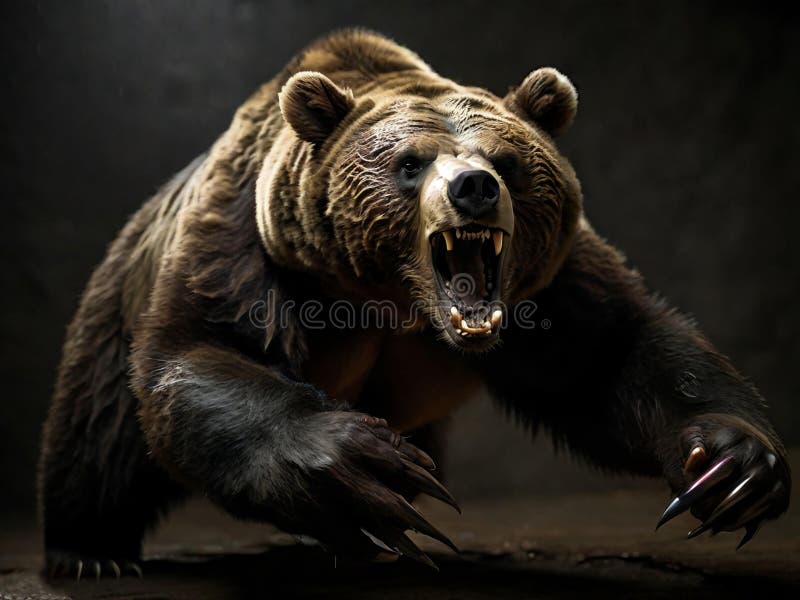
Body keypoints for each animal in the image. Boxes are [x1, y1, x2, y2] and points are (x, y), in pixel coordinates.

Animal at [38, 29, 790, 579]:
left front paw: (733, 466)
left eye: (507, 161)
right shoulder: (249, 244)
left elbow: (616, 353)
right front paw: (363, 472)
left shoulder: (549, 285)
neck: (392, 299)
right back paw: (89, 551)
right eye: (410, 164)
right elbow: (204, 349)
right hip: (114, 307)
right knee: (98, 429)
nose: (474, 188)